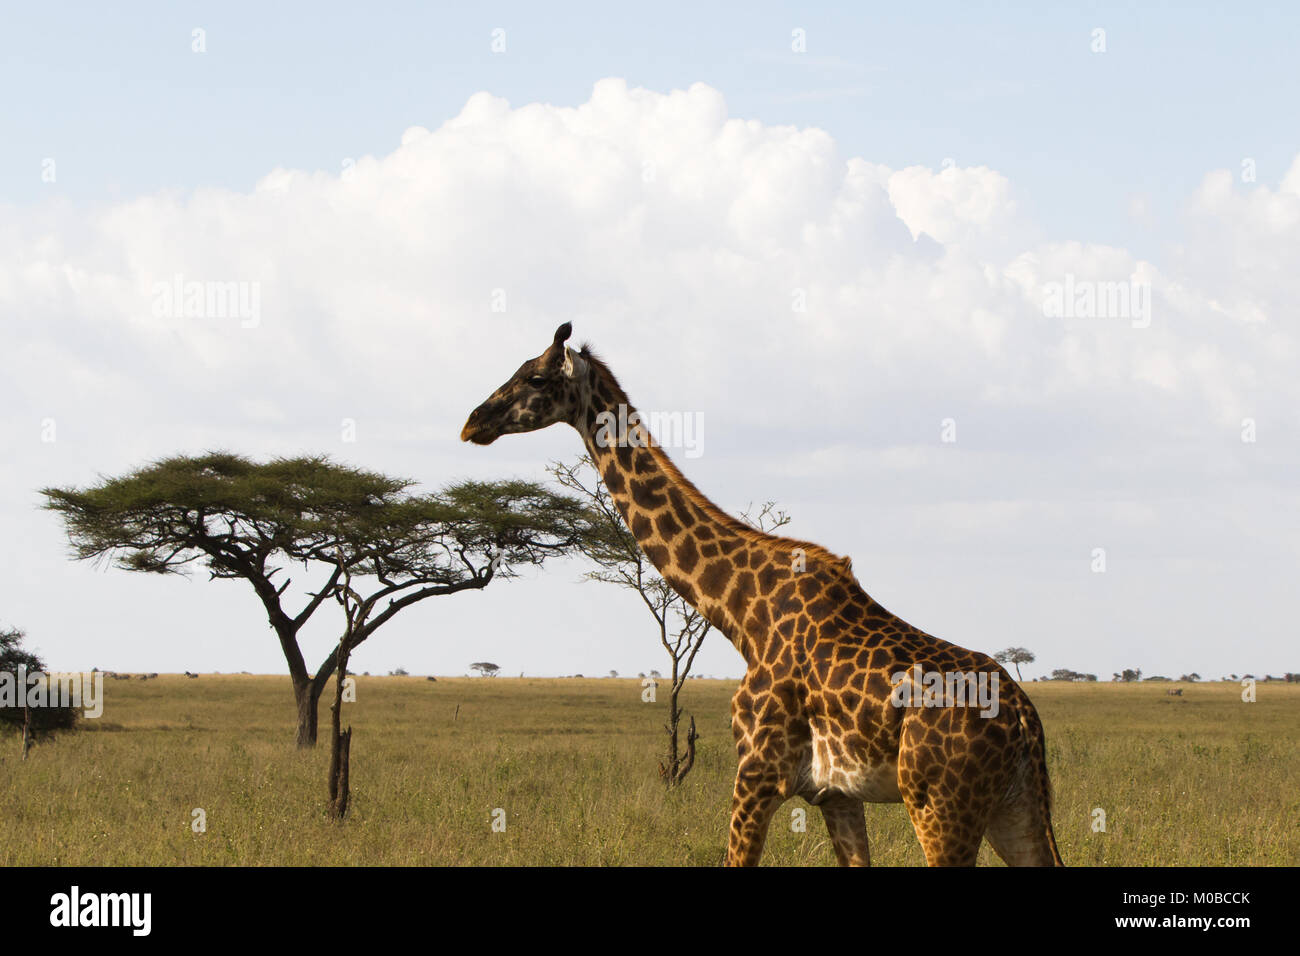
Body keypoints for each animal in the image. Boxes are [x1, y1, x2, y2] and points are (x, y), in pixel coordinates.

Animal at [461, 323, 1064, 867]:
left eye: (535, 377)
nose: (473, 423)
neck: (740, 612)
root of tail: (1025, 723)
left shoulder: (756, 771)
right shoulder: (835, 794)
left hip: (940, 805)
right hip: (1014, 807)